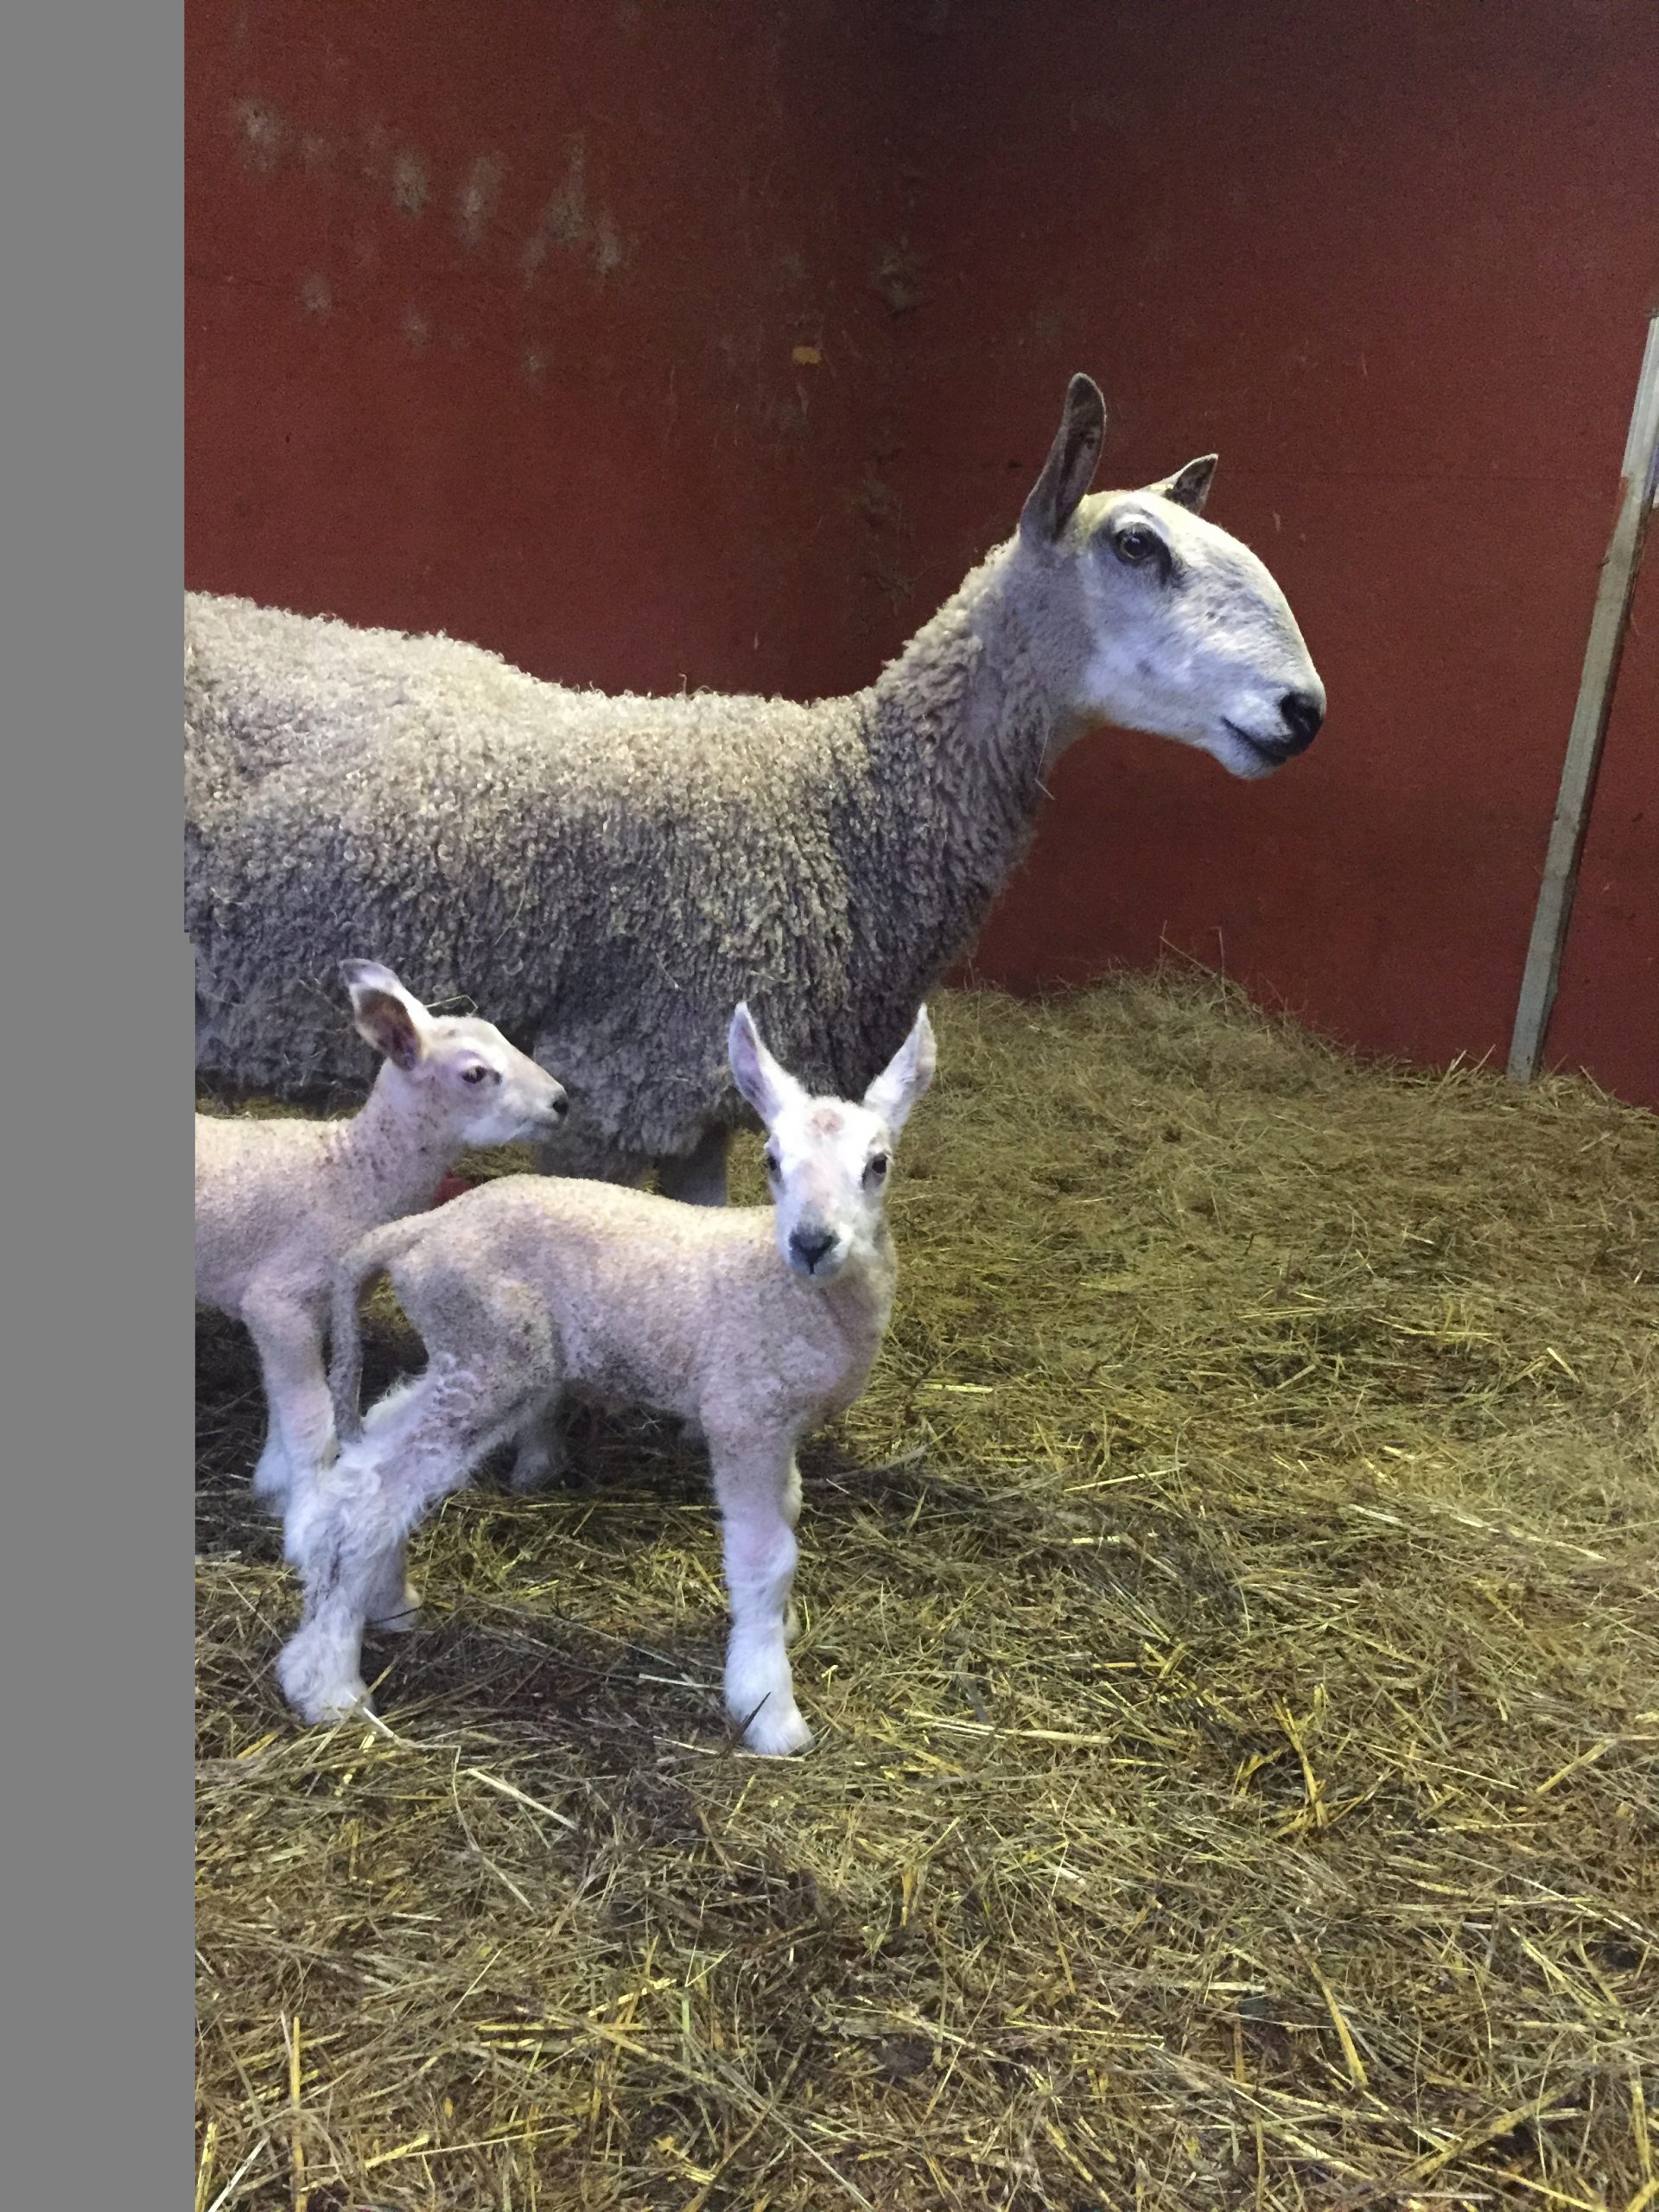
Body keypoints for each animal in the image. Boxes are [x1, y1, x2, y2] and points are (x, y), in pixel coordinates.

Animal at [195, 960, 569, 1506]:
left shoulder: (311, 1309)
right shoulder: (277, 1302)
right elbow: (313, 1422)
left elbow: (284, 1408)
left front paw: (272, 1480)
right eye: (475, 1073)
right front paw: (305, 1498)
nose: (561, 1102)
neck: (355, 1172)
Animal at [276, 1001, 938, 1755]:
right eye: (771, 1162)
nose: (812, 1242)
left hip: (472, 1353)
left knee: (373, 1452)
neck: (786, 1286)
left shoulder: (784, 1422)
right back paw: (326, 1682)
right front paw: (769, 1709)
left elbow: (792, 1510)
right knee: (376, 1493)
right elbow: (767, 1557)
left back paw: (377, 1599)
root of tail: (418, 1230)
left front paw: (780, 1627)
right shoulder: (743, 1414)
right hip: (492, 1353)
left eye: (878, 1165)